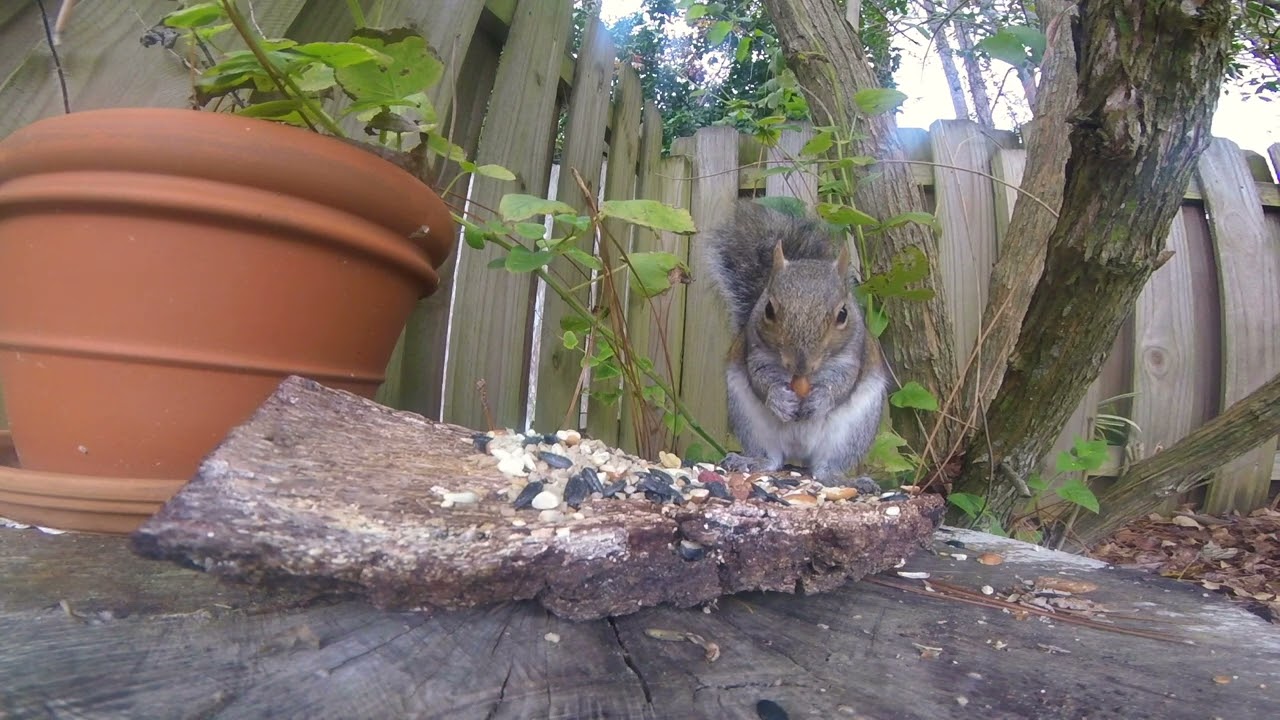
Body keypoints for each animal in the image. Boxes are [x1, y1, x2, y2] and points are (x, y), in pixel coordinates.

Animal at [702, 200, 889, 489]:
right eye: (768, 309)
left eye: (843, 314)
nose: (801, 365)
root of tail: (799, 452)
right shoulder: (756, 351)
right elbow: (760, 378)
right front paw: (778, 397)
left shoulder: (853, 355)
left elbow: (843, 382)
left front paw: (822, 397)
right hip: (750, 422)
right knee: (771, 458)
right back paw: (750, 461)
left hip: (851, 431)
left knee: (825, 466)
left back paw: (841, 478)